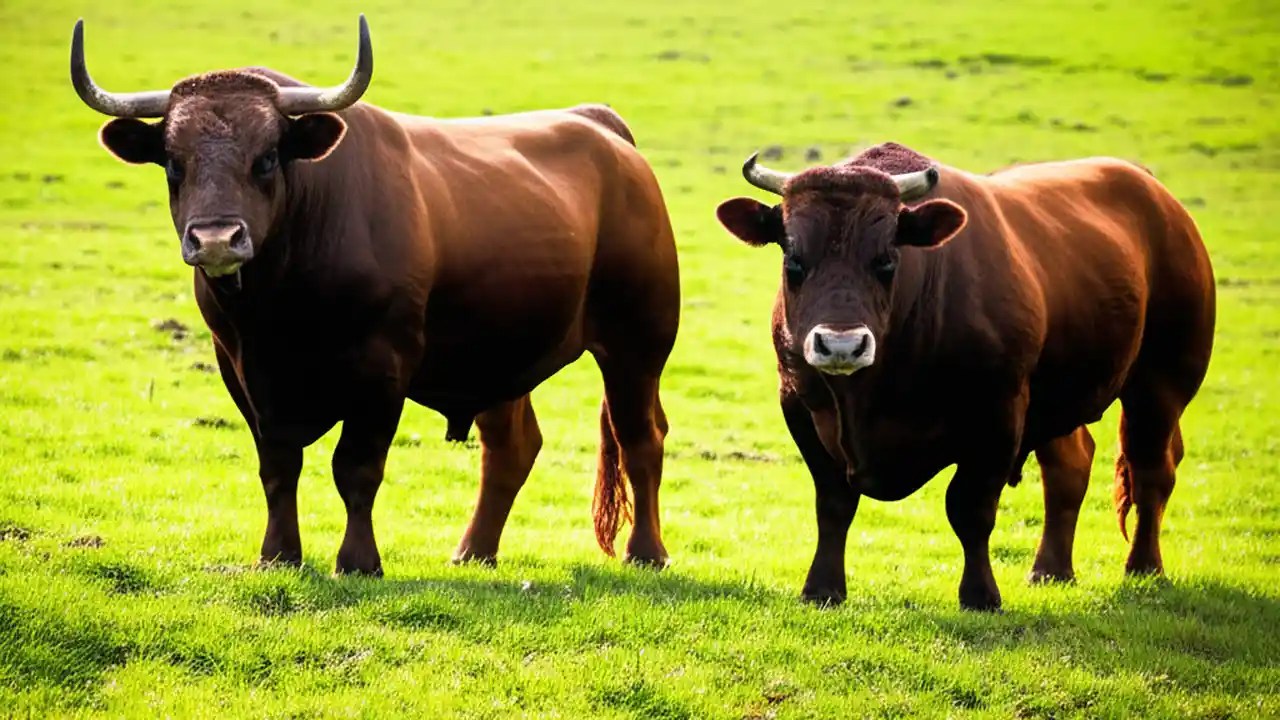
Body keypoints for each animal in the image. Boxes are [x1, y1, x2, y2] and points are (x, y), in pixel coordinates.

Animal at [70, 16, 680, 575]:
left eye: (266, 158)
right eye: (174, 164)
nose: (217, 238)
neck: (281, 305)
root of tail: (598, 126)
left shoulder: (383, 371)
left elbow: (356, 468)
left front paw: (359, 561)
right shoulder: (242, 371)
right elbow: (278, 467)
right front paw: (279, 555)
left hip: (636, 345)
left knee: (640, 439)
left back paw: (646, 552)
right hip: (501, 355)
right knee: (511, 447)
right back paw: (474, 551)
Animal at [716, 142, 1214, 610]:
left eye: (887, 261)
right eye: (794, 261)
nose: (841, 345)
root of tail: (1151, 189)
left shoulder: (998, 415)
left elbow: (970, 508)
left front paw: (980, 594)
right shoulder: (800, 406)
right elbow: (834, 503)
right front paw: (822, 588)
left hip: (1161, 384)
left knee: (1151, 471)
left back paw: (1144, 567)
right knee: (1069, 467)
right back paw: (1051, 570)